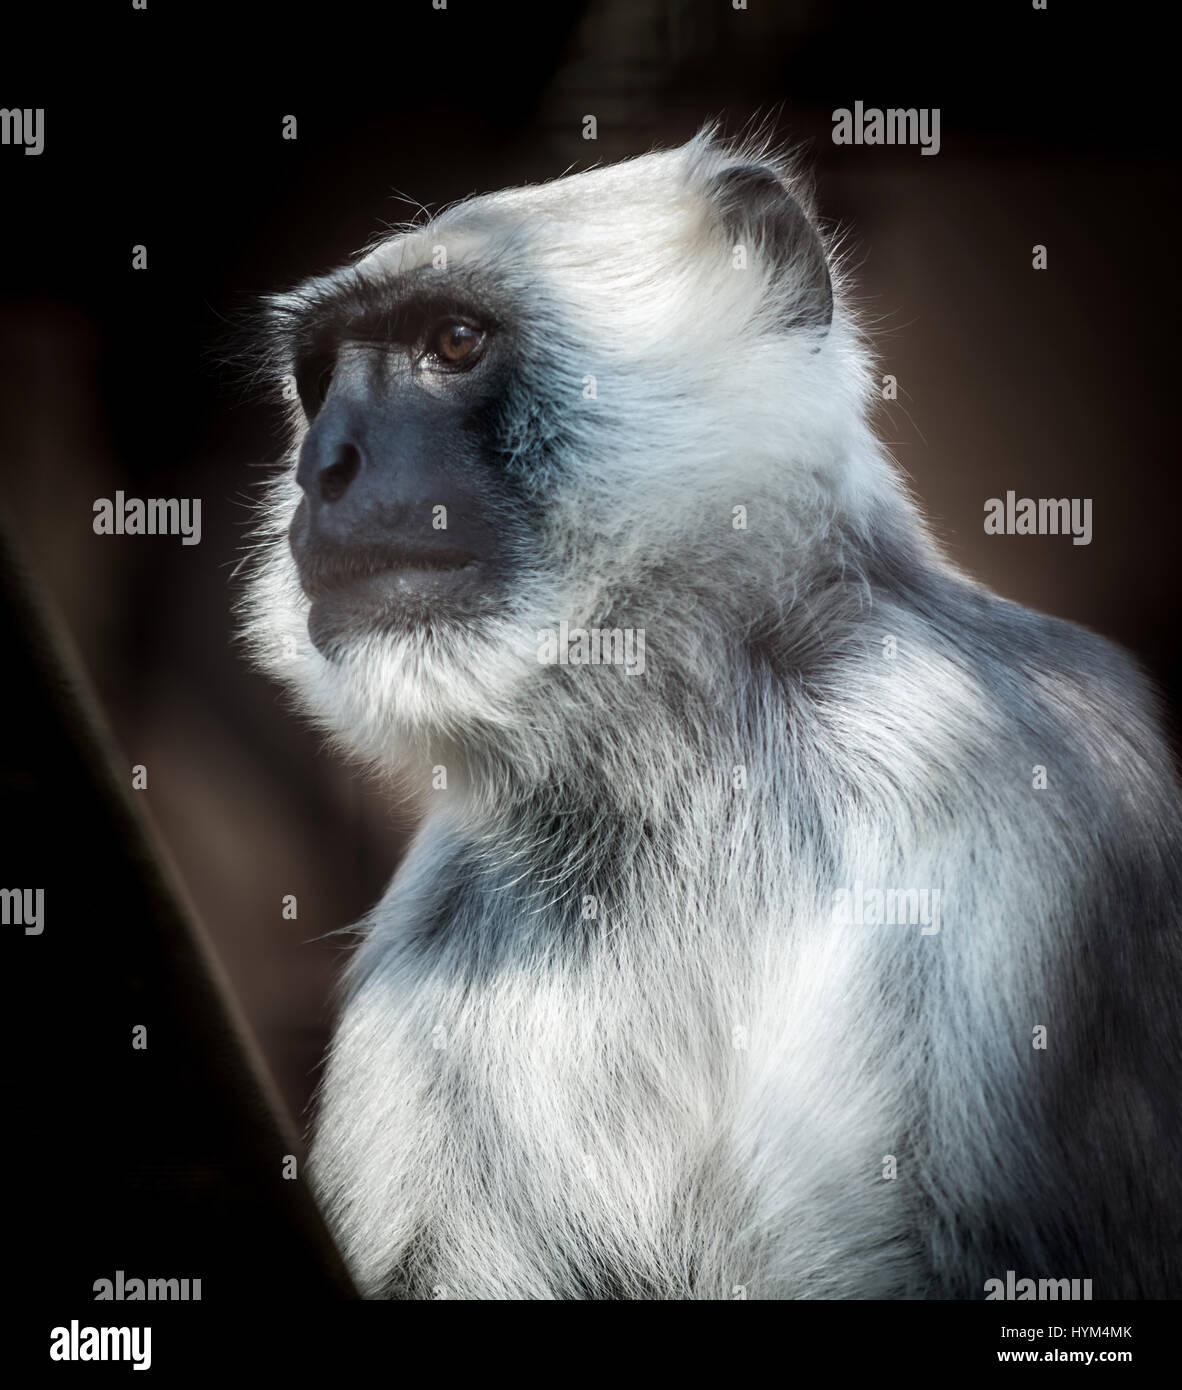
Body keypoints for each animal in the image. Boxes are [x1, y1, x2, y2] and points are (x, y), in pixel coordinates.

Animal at [241, 127, 1182, 1300]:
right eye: (322, 380)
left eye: (454, 342)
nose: (322, 468)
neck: (674, 763)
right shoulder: (436, 907)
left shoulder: (1004, 780)